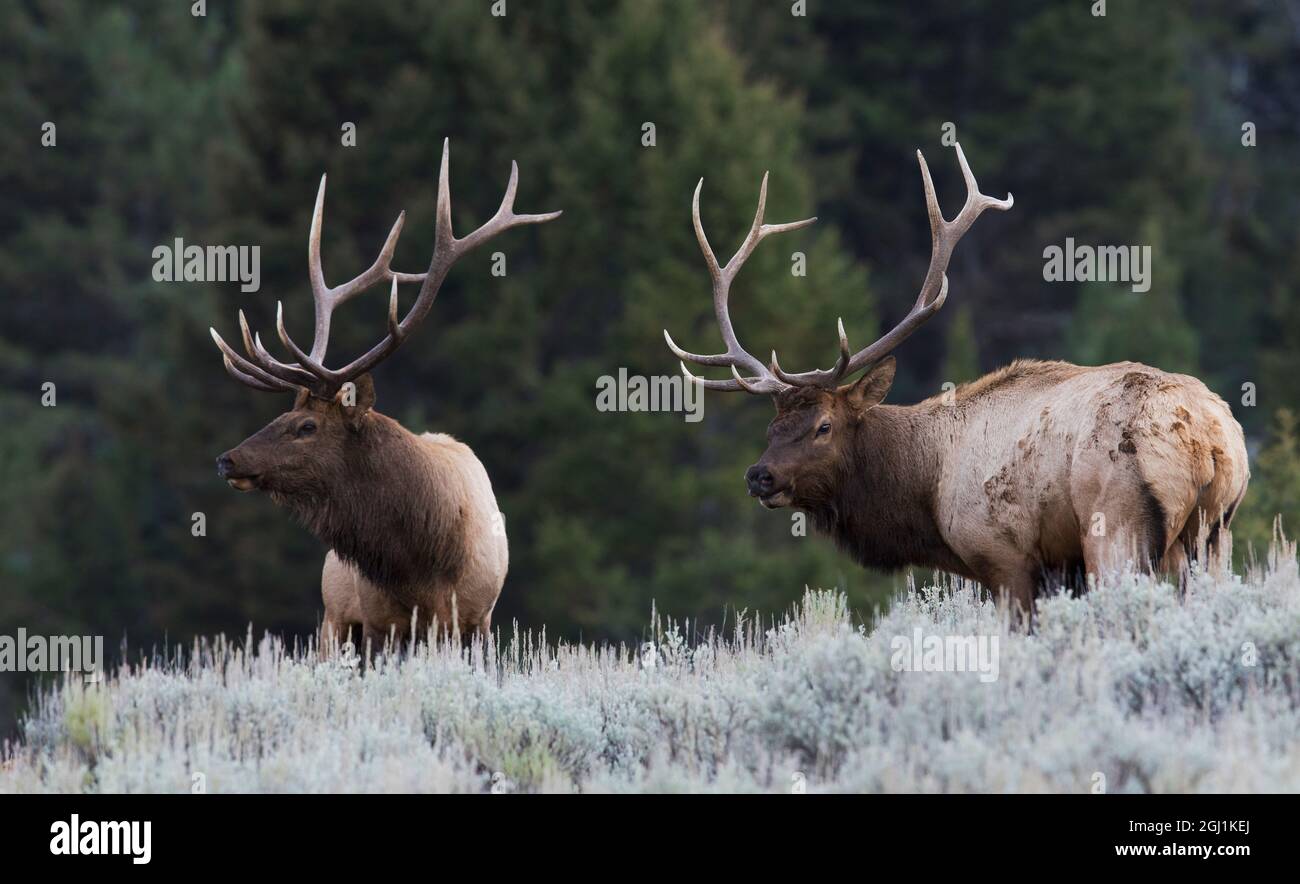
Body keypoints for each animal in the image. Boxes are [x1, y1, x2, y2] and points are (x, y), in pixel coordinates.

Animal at [212, 139, 560, 650]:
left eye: (307, 426)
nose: (227, 459)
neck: (425, 563)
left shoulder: (478, 619)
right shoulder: (378, 622)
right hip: (334, 622)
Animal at [665, 143, 1249, 621]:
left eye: (824, 426)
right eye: (772, 428)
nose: (758, 476)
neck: (927, 489)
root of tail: (1210, 441)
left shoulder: (1004, 556)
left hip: (1117, 525)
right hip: (1216, 534)